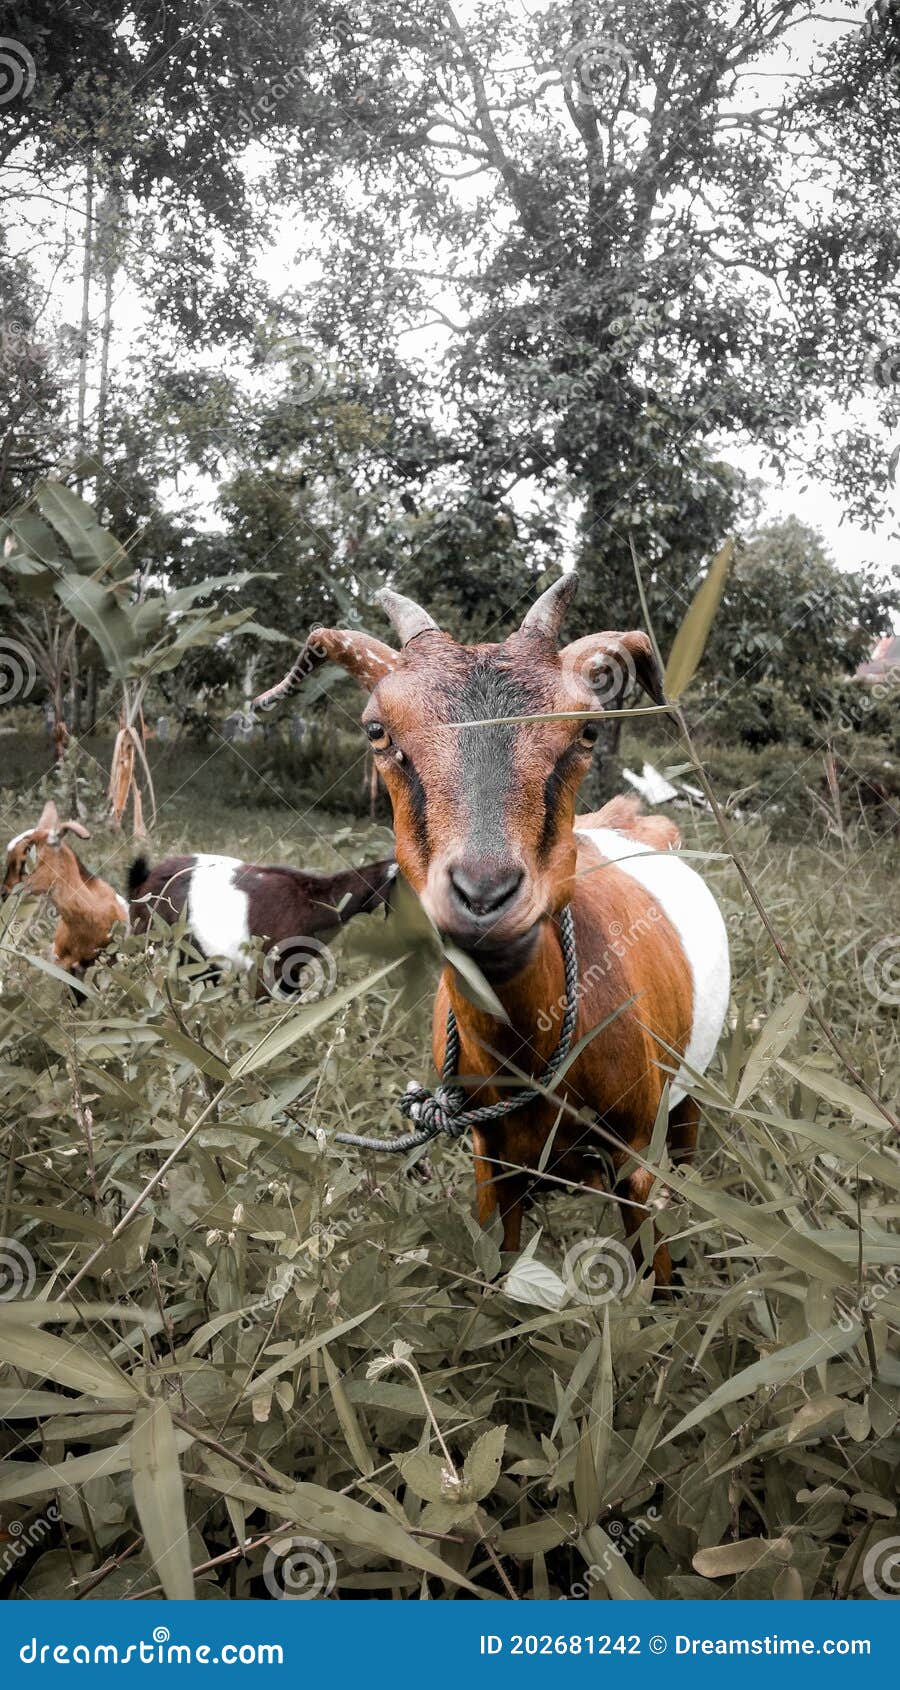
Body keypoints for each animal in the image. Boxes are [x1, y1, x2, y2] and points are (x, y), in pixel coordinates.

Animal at [253, 575, 730, 1287]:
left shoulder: (636, 1158)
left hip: (689, 1094)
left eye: (588, 729)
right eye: (377, 731)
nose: (484, 894)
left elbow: (656, 1275)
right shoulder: (489, 1164)